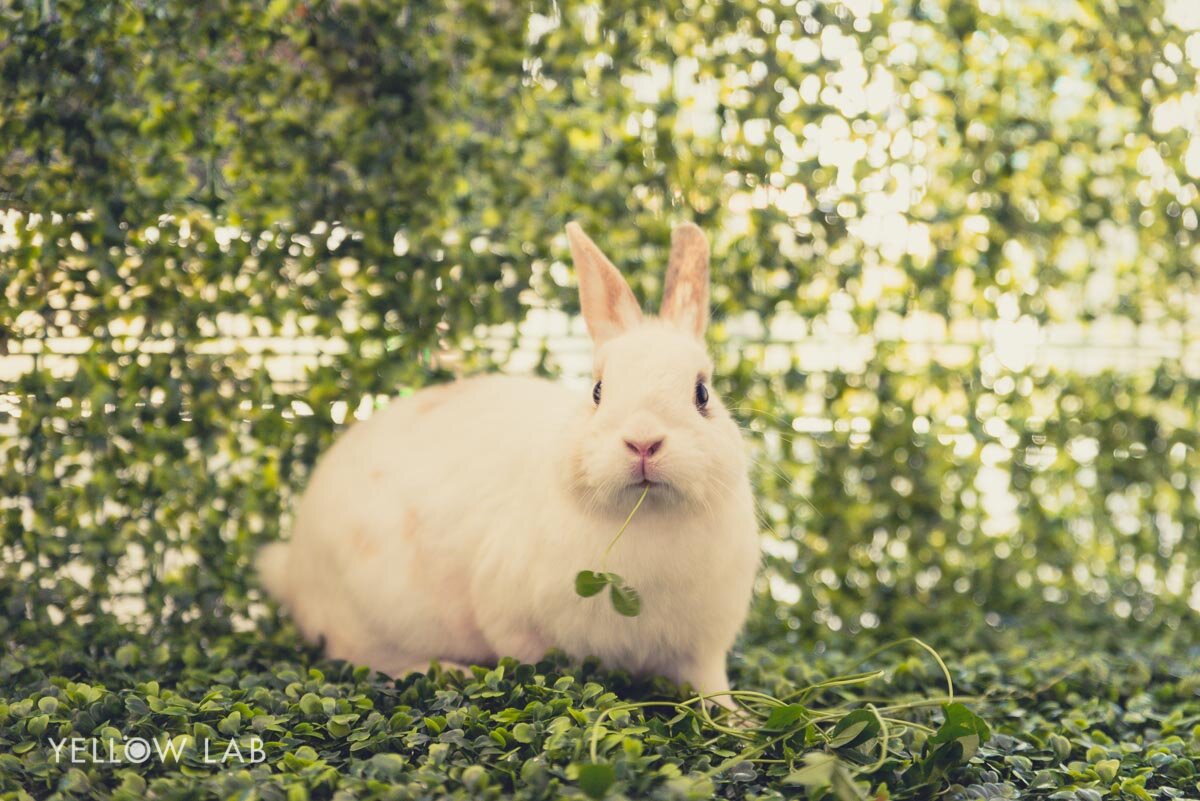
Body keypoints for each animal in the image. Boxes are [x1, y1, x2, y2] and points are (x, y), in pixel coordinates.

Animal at [256, 221, 761, 702]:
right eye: (597, 391)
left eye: (702, 393)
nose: (643, 442)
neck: (645, 518)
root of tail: (292, 565)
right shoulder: (514, 623)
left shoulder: (703, 650)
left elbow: (710, 687)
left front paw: (736, 718)